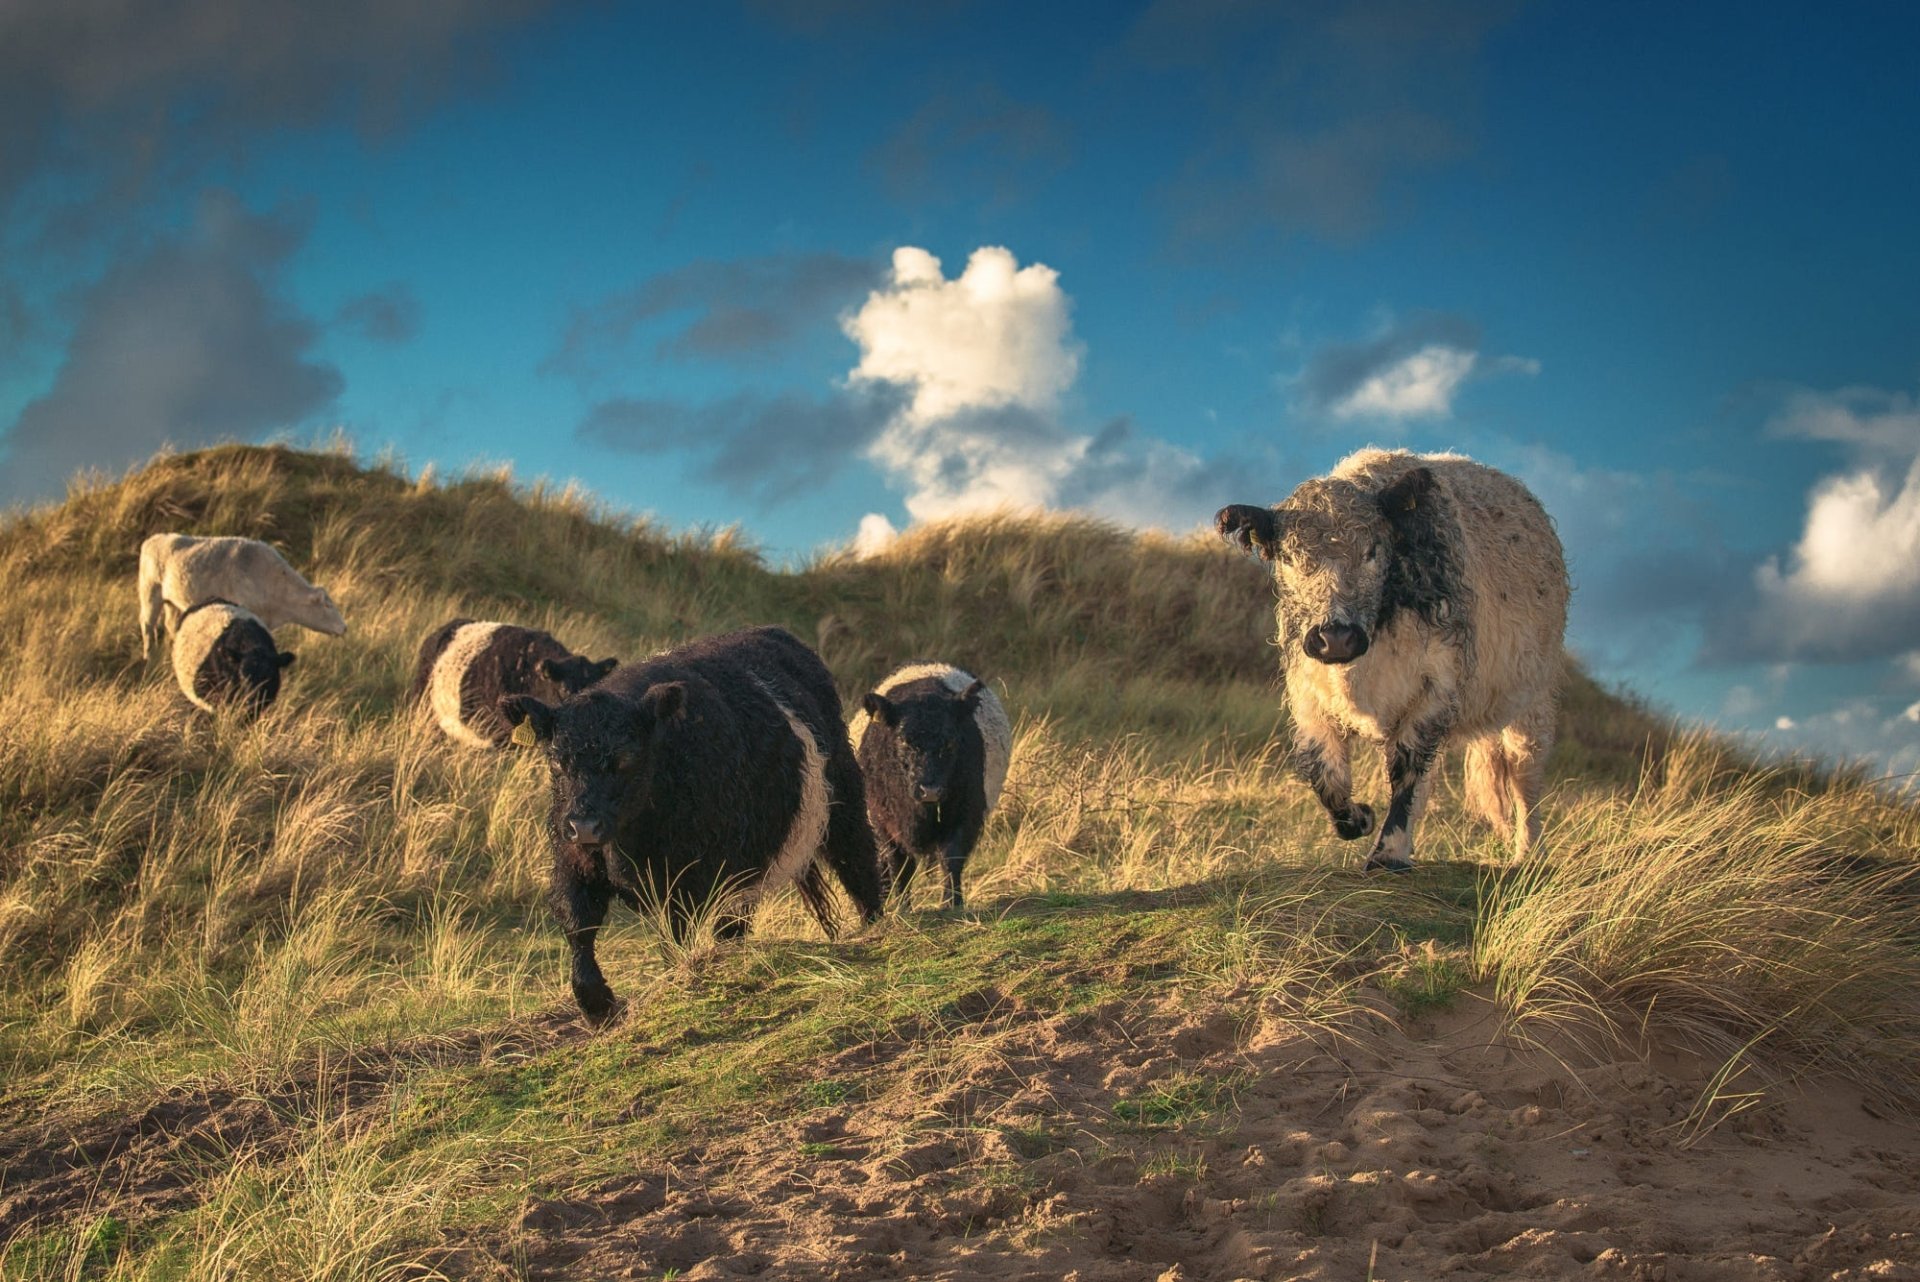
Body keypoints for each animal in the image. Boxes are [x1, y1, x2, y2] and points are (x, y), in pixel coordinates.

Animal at [139, 534, 345, 659]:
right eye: (328, 606)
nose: (344, 627)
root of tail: (153, 539)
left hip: (171, 602)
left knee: (170, 625)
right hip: (149, 592)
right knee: (147, 625)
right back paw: (148, 657)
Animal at [500, 625, 886, 1024]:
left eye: (626, 759)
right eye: (557, 761)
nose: (585, 825)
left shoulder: (690, 875)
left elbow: (674, 933)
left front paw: (673, 983)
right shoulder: (572, 859)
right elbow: (578, 923)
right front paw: (598, 1006)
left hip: (842, 803)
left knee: (858, 866)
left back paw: (876, 929)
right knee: (736, 922)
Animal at [854, 663, 1012, 908]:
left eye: (950, 742)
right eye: (904, 740)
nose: (930, 791)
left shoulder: (966, 813)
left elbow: (951, 857)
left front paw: (952, 902)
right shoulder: (883, 821)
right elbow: (900, 865)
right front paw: (903, 907)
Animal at [1216, 448, 1569, 871]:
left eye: (1372, 552)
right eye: (1290, 558)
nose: (1337, 638)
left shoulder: (1439, 686)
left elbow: (1407, 768)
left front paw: (1388, 854)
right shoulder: (1306, 693)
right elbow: (1323, 771)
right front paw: (1359, 819)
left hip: (1533, 696)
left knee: (1523, 775)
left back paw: (1528, 853)